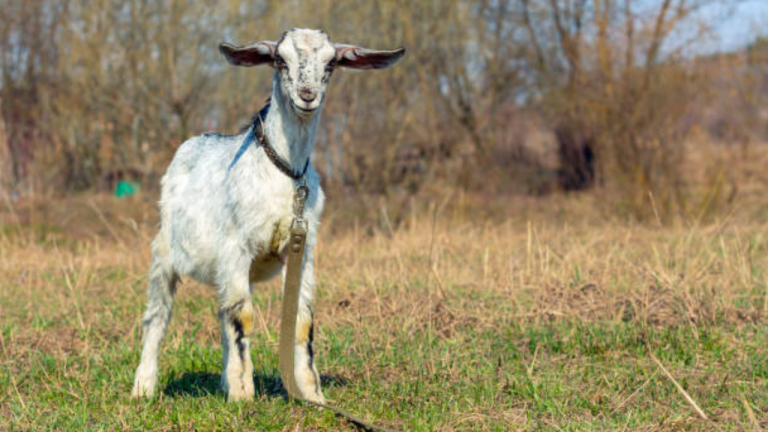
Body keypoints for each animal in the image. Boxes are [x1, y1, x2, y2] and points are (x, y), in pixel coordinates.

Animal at [131, 29, 404, 402]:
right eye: (279, 59)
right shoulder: (236, 245)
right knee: (158, 315)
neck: (286, 173)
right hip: (165, 253)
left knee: (222, 310)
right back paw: (144, 387)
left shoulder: (303, 248)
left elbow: (302, 317)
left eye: (331, 63)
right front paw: (243, 395)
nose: (307, 95)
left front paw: (310, 393)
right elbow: (243, 316)